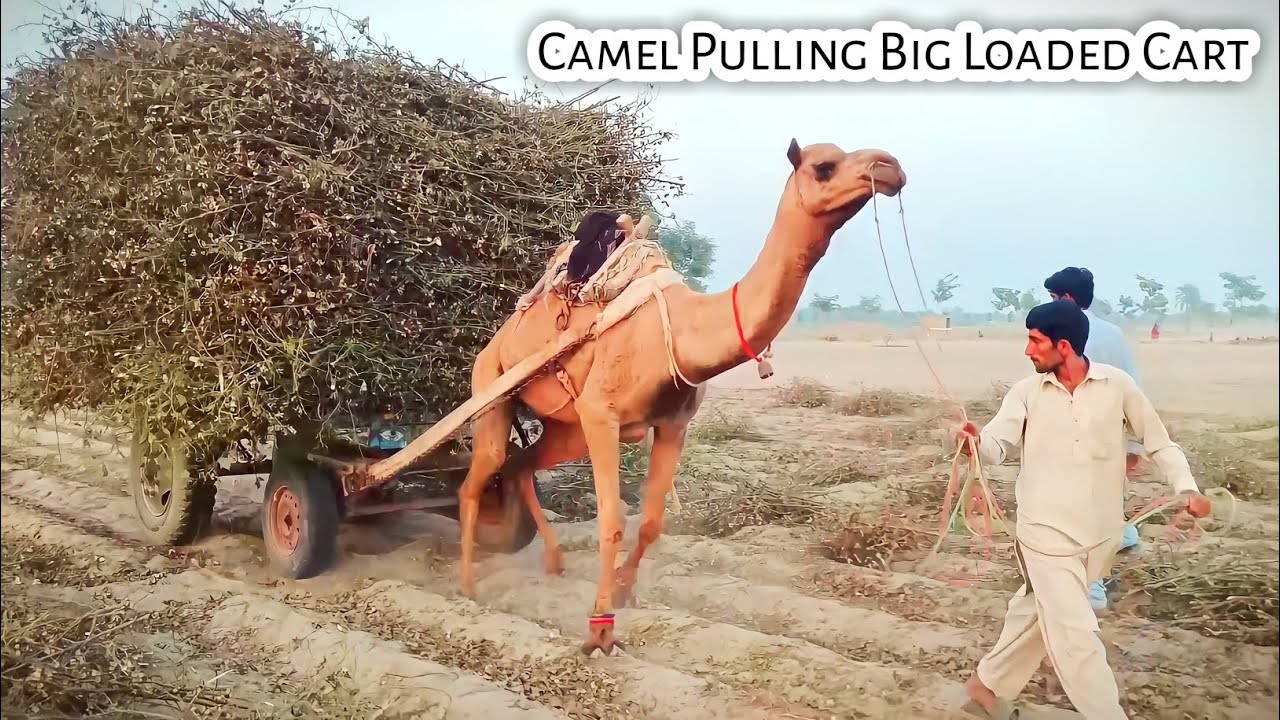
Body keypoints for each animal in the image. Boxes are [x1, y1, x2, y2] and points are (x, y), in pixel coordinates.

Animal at [456, 138, 906, 656]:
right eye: (825, 166)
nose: (890, 168)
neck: (684, 331)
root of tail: (494, 342)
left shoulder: (673, 423)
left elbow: (652, 521)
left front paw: (625, 593)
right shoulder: (602, 413)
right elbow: (612, 520)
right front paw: (599, 631)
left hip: (564, 427)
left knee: (520, 466)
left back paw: (551, 561)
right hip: (491, 387)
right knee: (479, 475)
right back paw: (467, 588)